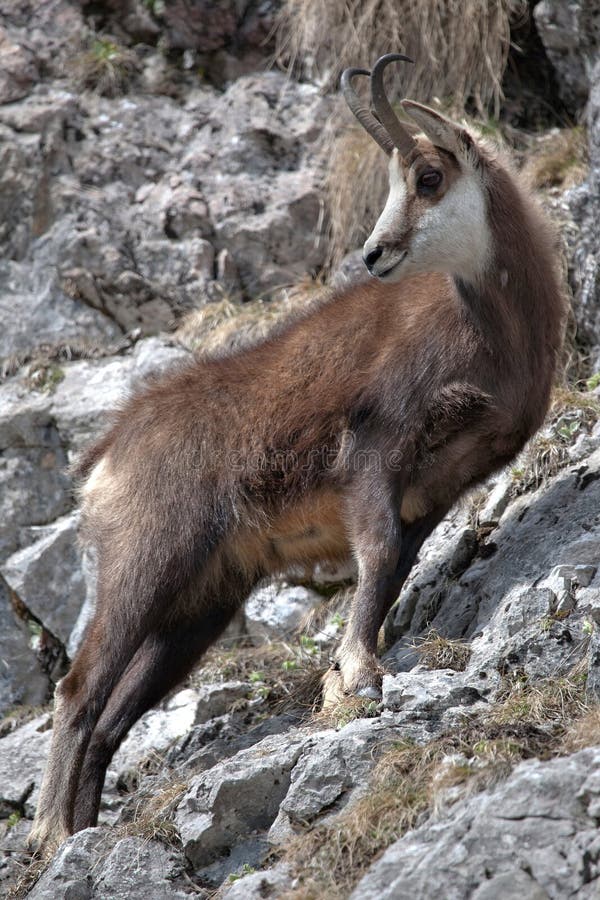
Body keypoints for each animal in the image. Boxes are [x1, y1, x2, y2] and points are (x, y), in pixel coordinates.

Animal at [30, 54, 566, 850]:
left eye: (428, 176)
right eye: (399, 178)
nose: (372, 254)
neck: (489, 328)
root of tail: (102, 461)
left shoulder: (433, 491)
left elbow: (392, 570)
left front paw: (352, 669)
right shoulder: (375, 448)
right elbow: (375, 553)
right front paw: (359, 678)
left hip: (199, 608)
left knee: (111, 719)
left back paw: (85, 832)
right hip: (145, 564)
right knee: (77, 688)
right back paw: (48, 835)